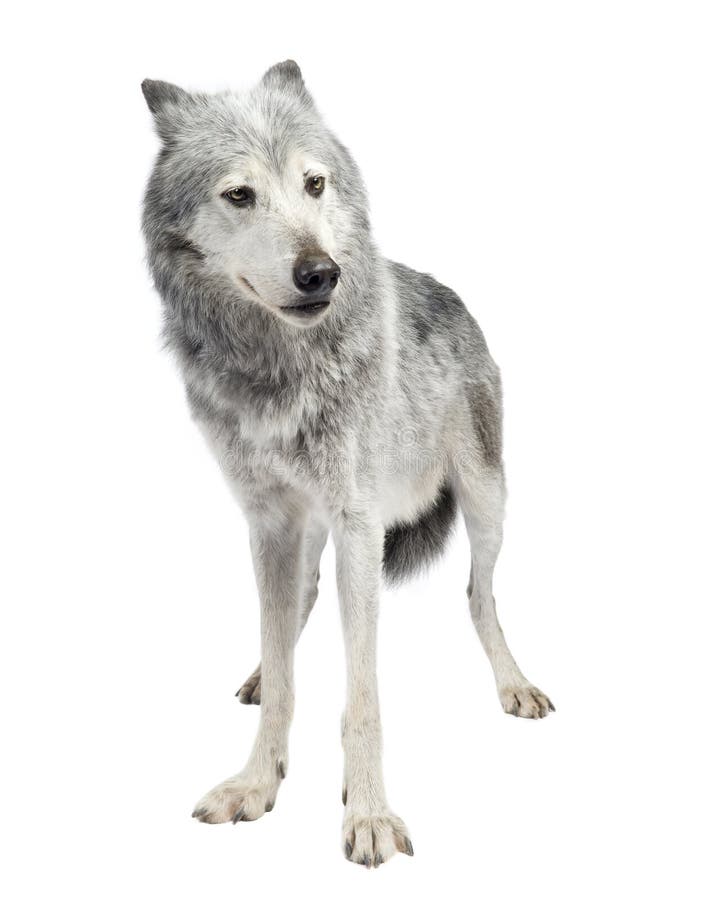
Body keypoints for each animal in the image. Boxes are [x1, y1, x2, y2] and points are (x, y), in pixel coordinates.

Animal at [141, 60, 554, 868]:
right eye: (240, 195)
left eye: (314, 184)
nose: (319, 273)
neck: (278, 373)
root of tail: (455, 298)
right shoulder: (268, 521)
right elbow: (284, 671)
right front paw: (257, 781)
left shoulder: (359, 523)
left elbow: (361, 697)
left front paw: (366, 815)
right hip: (306, 536)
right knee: (296, 608)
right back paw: (259, 672)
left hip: (488, 503)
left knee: (479, 596)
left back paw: (514, 685)